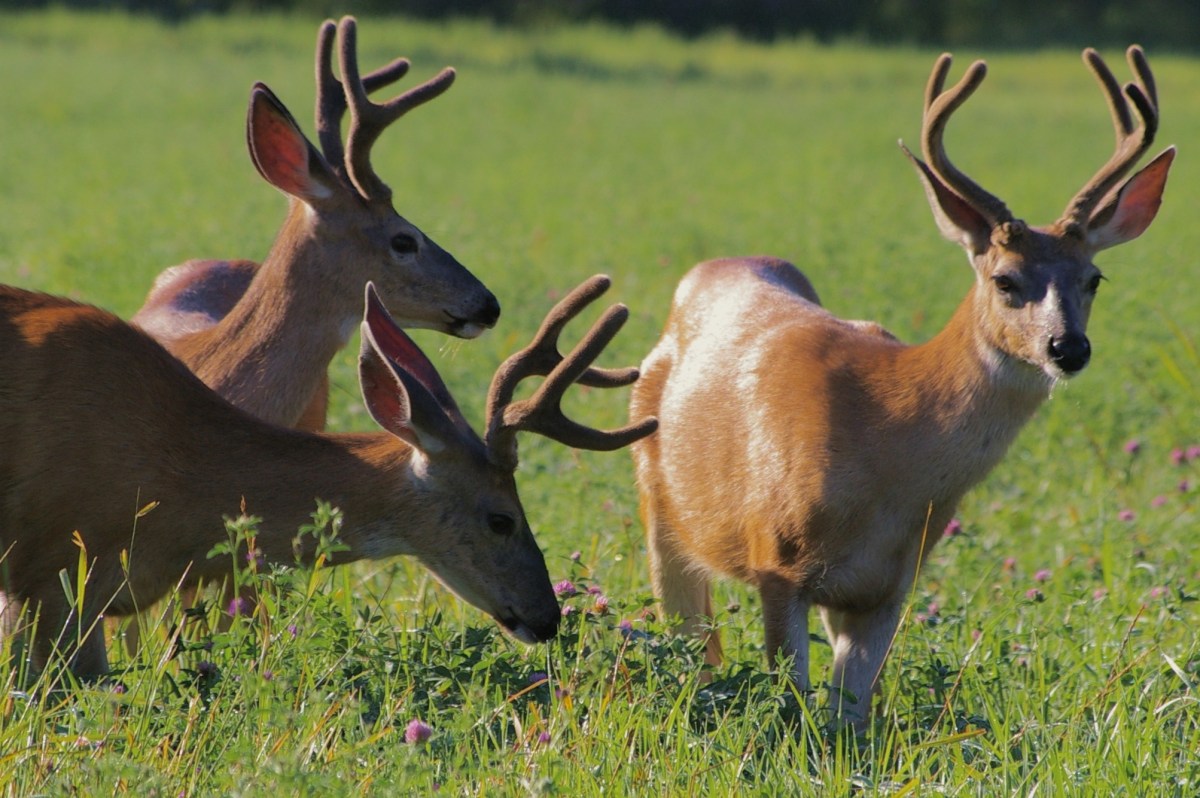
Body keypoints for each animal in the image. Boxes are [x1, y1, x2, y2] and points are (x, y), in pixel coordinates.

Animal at [630, 46, 1174, 729]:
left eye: (1094, 278)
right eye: (1005, 279)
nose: (1068, 348)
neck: (887, 449)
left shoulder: (888, 585)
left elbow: (849, 717)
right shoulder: (777, 559)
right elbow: (792, 704)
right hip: (659, 509)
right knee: (690, 645)